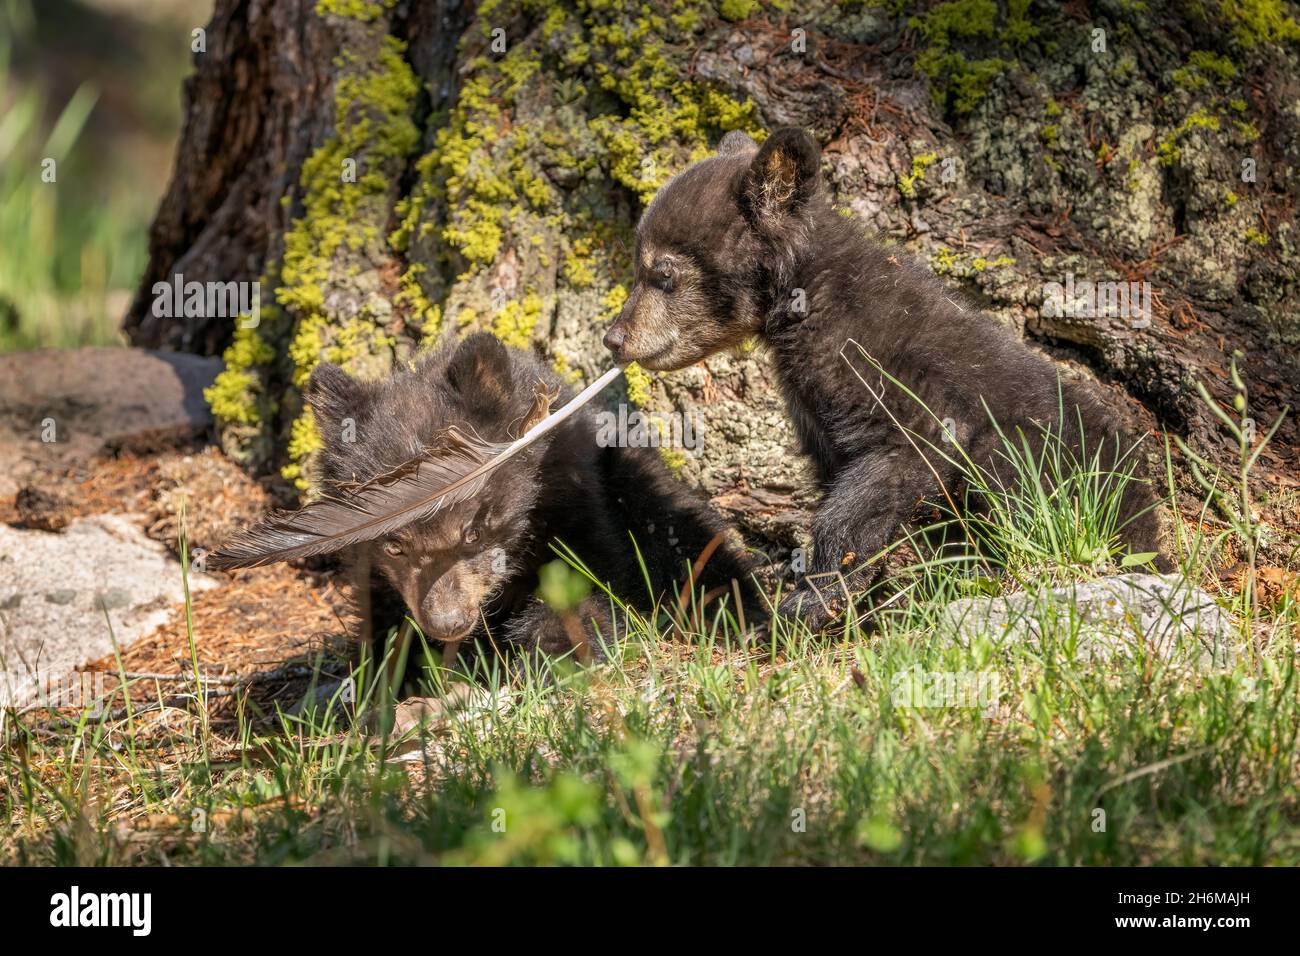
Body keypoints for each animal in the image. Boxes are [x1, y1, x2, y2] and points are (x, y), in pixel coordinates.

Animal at [300, 332, 760, 682]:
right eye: (393, 545)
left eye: (474, 532)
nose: (447, 623)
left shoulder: (572, 506)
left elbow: (581, 586)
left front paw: (556, 656)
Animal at [602, 127, 1168, 631]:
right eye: (639, 265)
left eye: (663, 273)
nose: (614, 337)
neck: (808, 300)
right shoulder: (815, 408)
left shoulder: (895, 377)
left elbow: (891, 465)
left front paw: (813, 599)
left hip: (1047, 458)